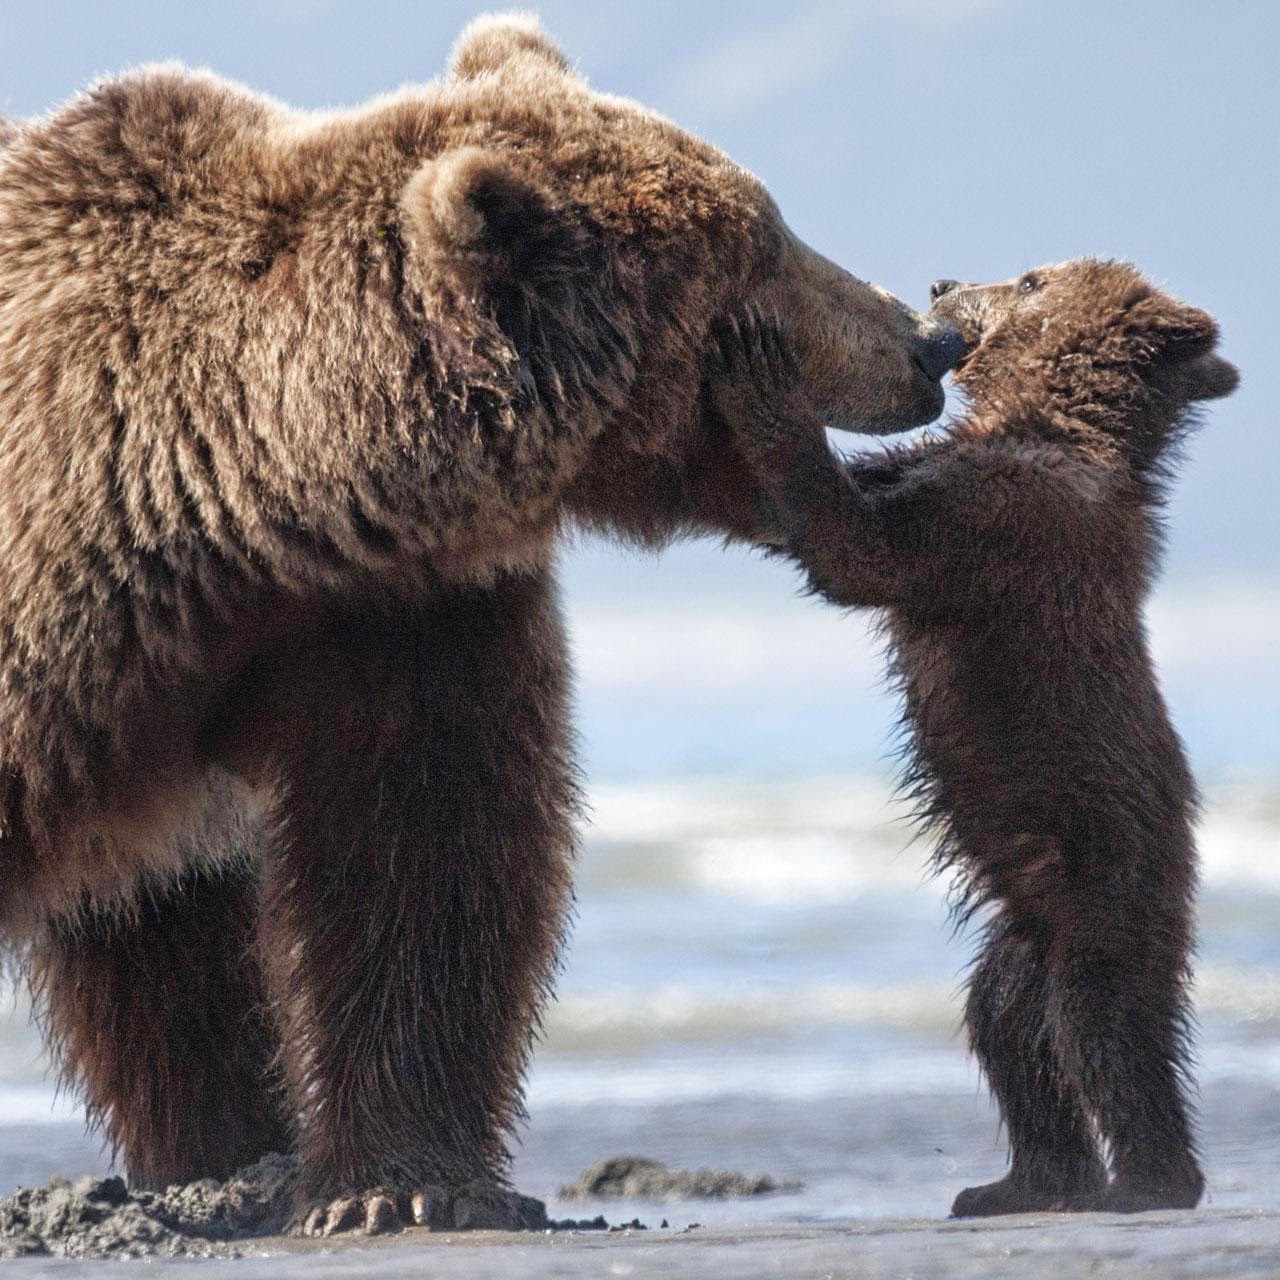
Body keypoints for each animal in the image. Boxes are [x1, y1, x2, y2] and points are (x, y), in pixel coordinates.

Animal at [0, 14, 964, 1234]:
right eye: (763, 249)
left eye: (771, 219)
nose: (928, 341)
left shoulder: (398, 612)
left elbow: (426, 848)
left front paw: (403, 1184)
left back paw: (230, 1161)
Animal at [711, 259, 1237, 1215]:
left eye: (1031, 277)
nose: (943, 280)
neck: (1050, 422)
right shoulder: (949, 471)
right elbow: (854, 498)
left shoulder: (1005, 523)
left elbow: (861, 550)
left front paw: (764, 375)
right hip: (1022, 930)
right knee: (1010, 1028)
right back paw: (1018, 1182)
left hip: (1110, 874)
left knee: (1106, 1022)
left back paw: (1147, 1182)